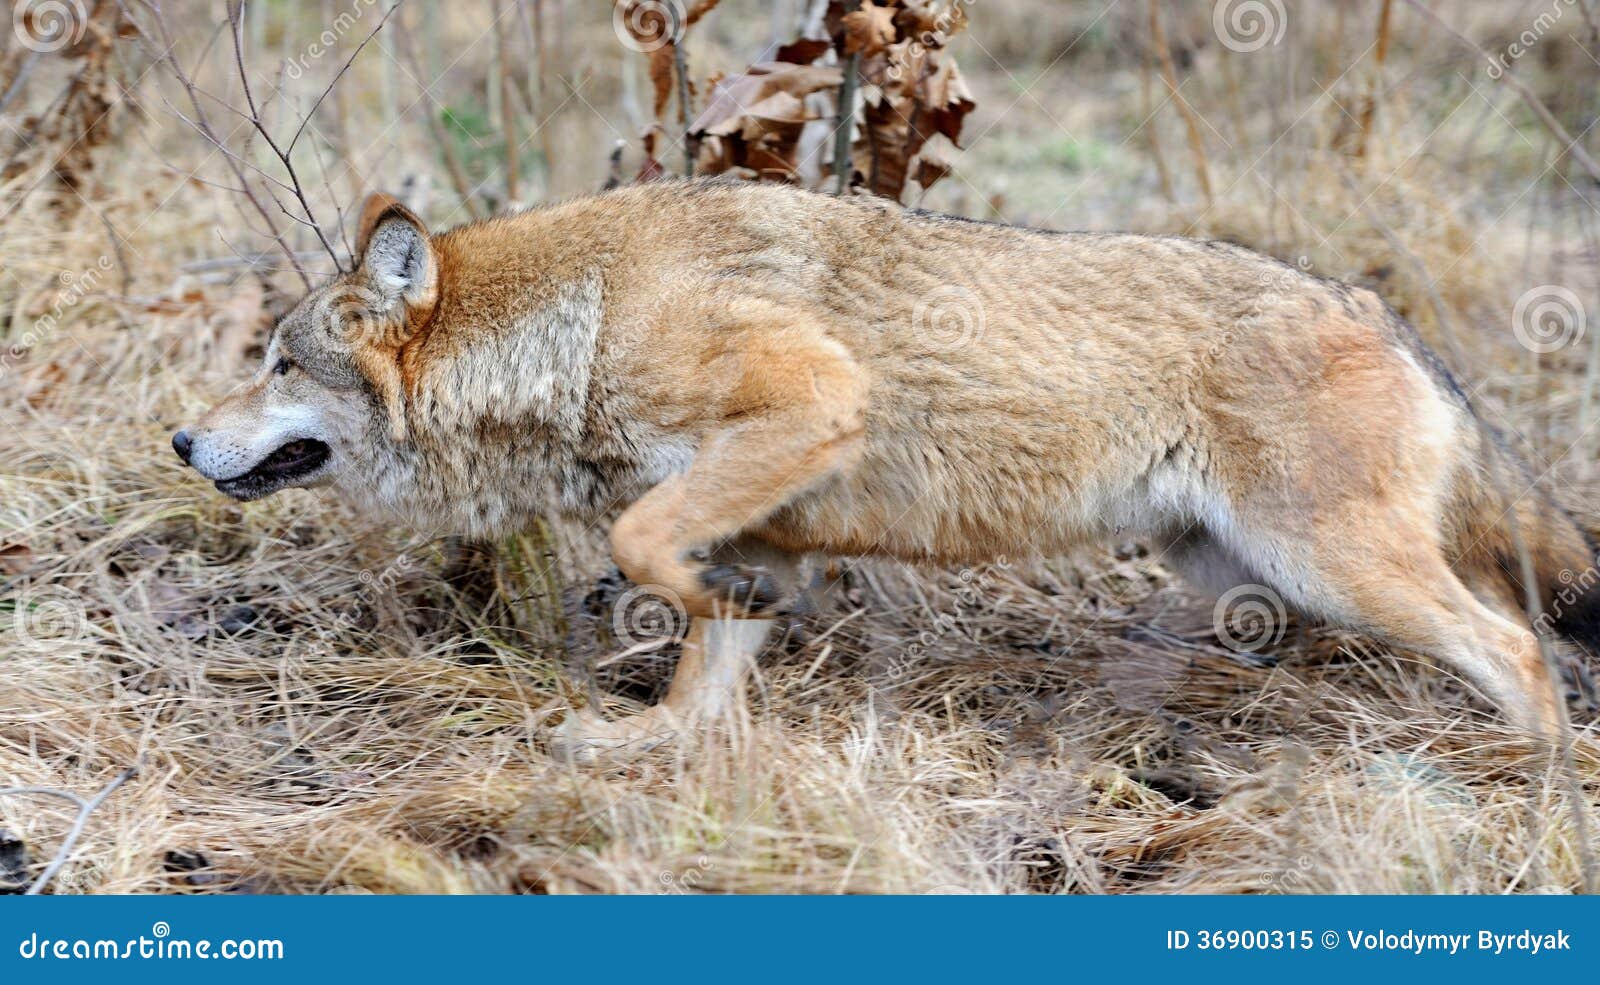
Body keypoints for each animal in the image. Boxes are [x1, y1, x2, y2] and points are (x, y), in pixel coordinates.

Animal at [173, 179, 1598, 755]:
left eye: (280, 363)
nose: (181, 440)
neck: (586, 317)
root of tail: (1381, 311)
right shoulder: (762, 527)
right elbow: (699, 669)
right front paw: (648, 750)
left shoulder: (812, 404)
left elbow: (640, 546)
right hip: (1240, 575)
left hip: (1333, 566)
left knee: (1517, 648)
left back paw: (1527, 786)